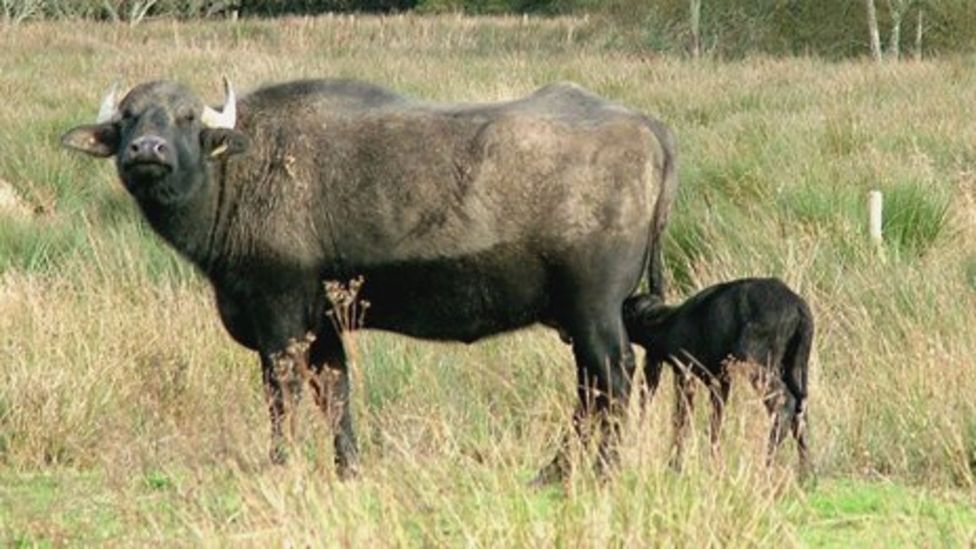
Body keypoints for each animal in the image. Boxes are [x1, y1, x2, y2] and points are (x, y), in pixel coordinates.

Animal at [62, 77, 677, 479]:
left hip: (595, 309)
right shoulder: (324, 326)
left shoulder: (279, 315)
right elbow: (336, 393)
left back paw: (599, 471)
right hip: (579, 318)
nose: (146, 150)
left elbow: (281, 394)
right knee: (590, 389)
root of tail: (647, 125)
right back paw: (555, 470)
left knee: (613, 381)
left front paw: (280, 464)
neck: (243, 171)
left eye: (187, 118)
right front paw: (347, 467)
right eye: (128, 118)